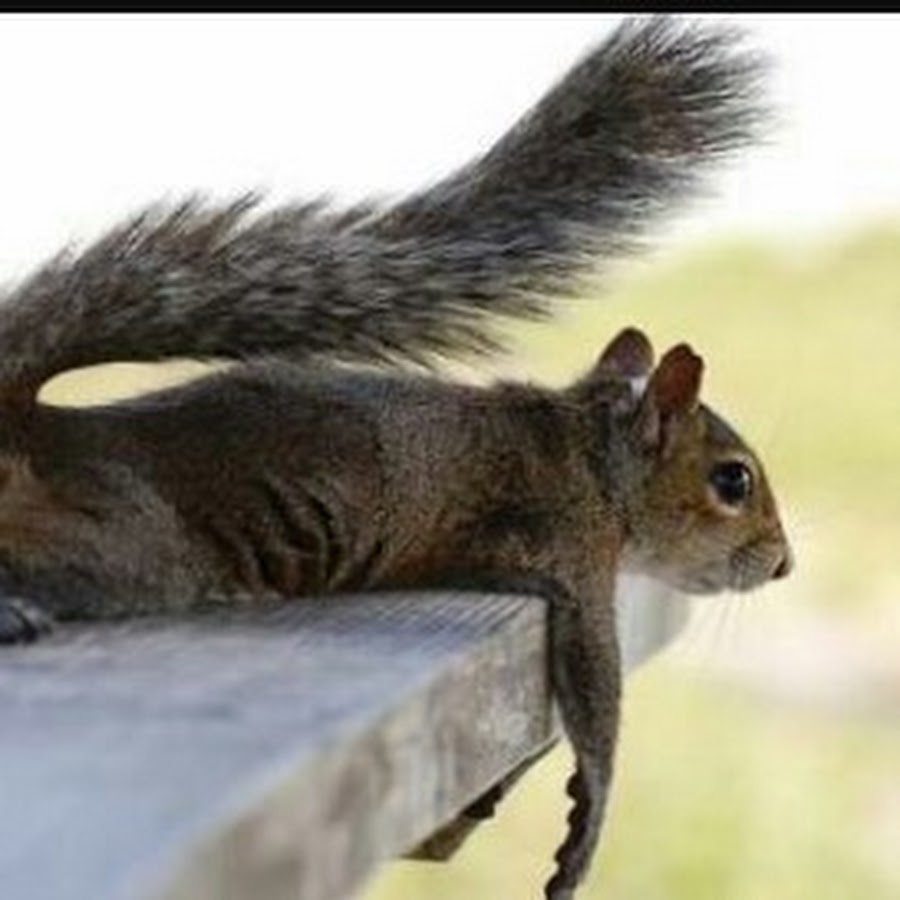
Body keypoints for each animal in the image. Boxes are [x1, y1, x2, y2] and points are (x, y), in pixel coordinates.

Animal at [0, 15, 791, 900]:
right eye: (733, 480)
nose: (782, 563)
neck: (592, 455)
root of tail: (39, 424)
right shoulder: (572, 554)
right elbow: (596, 694)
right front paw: (584, 828)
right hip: (133, 540)